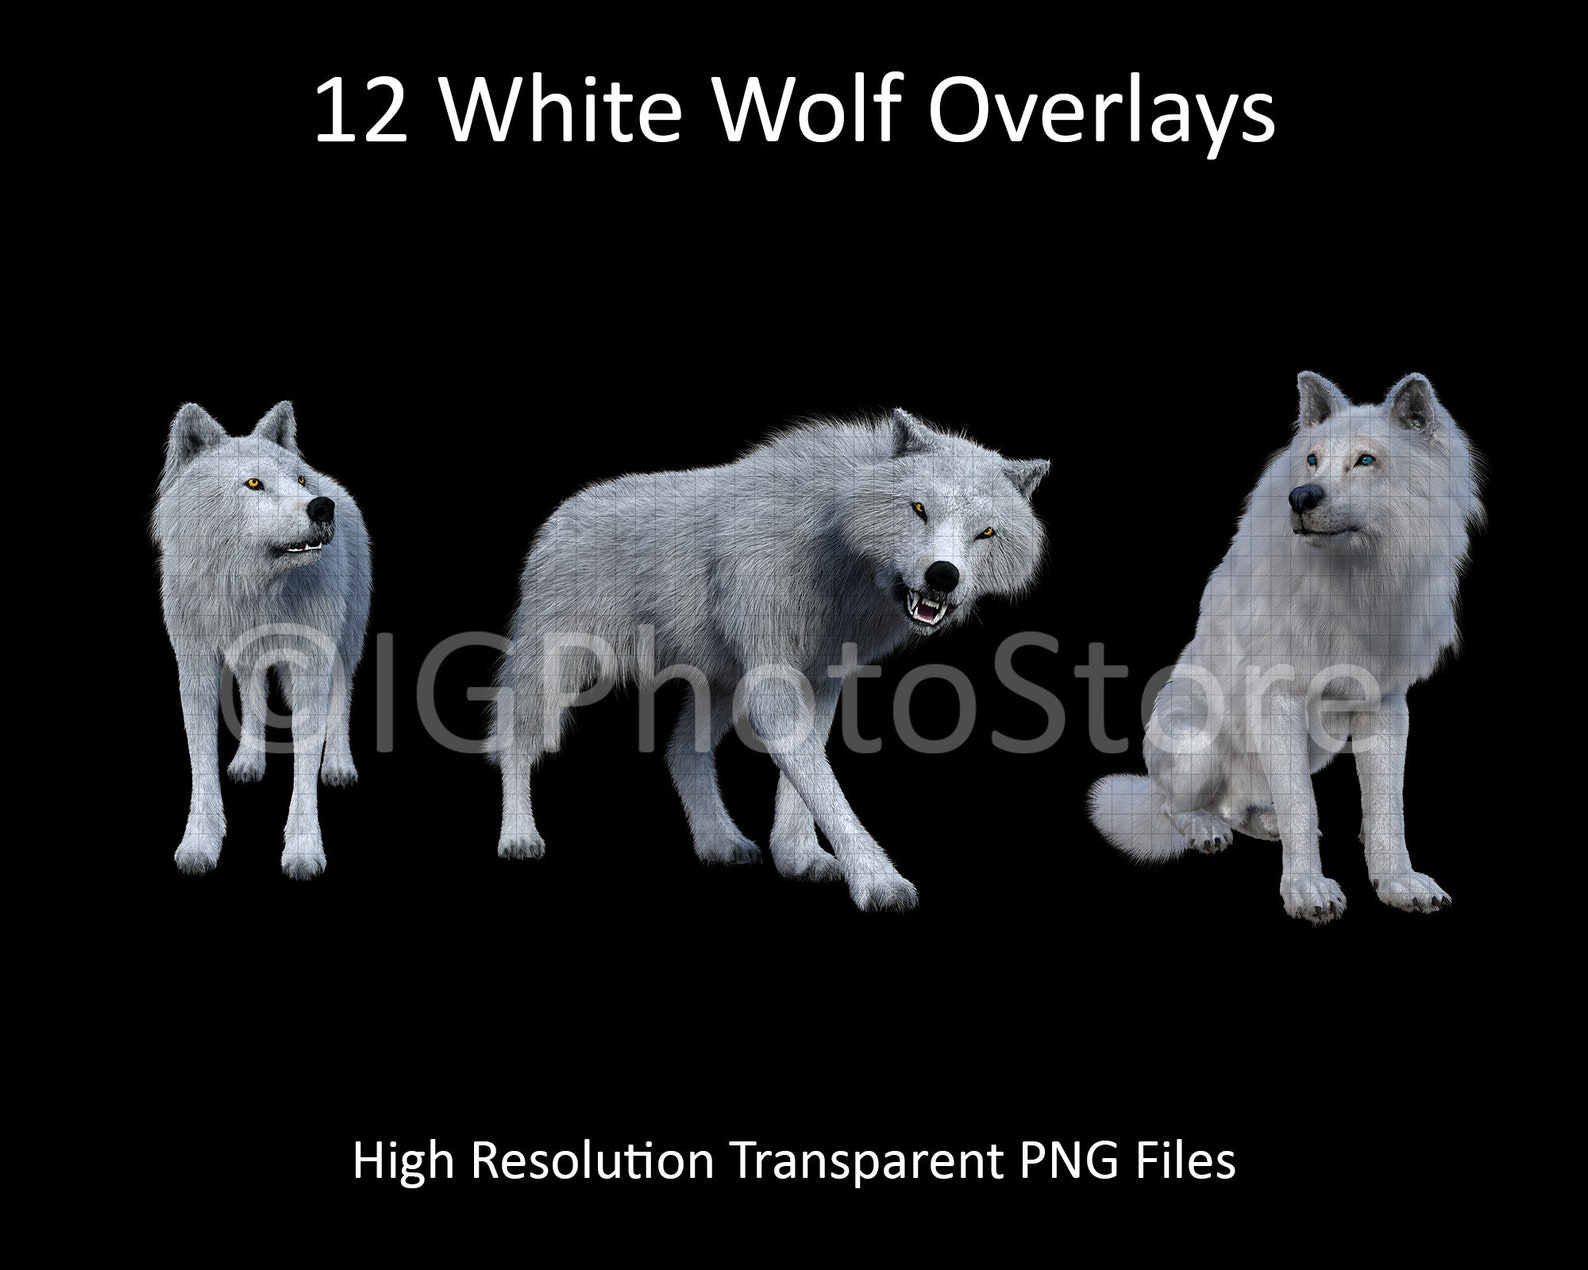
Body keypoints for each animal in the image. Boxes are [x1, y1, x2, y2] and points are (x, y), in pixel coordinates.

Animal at [153, 402, 372, 879]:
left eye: (299, 481)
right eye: (254, 483)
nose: (322, 507)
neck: (251, 590)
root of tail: (336, 483)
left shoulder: (311, 665)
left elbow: (305, 761)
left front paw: (303, 851)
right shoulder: (194, 664)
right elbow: (202, 760)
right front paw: (199, 844)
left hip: (346, 642)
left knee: (343, 695)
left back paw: (339, 764)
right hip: (246, 655)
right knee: (251, 690)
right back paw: (249, 760)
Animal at [489, 409, 1049, 910]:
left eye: (986, 533)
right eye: (918, 509)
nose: (943, 576)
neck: (838, 555)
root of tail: (562, 512)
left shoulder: (823, 677)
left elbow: (807, 771)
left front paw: (800, 857)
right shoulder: (772, 682)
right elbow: (820, 781)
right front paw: (879, 882)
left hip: (719, 686)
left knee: (679, 752)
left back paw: (719, 842)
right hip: (556, 673)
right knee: (514, 741)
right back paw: (518, 837)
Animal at [1088, 373, 1483, 923]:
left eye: (1366, 460)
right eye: (1312, 459)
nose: (1300, 498)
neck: (1353, 585)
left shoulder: (1384, 704)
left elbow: (1387, 808)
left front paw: (1398, 883)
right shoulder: (1278, 702)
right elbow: (1302, 802)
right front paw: (1306, 890)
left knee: (1244, 805)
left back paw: (1260, 822)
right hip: (1198, 751)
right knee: (1177, 806)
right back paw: (1207, 829)